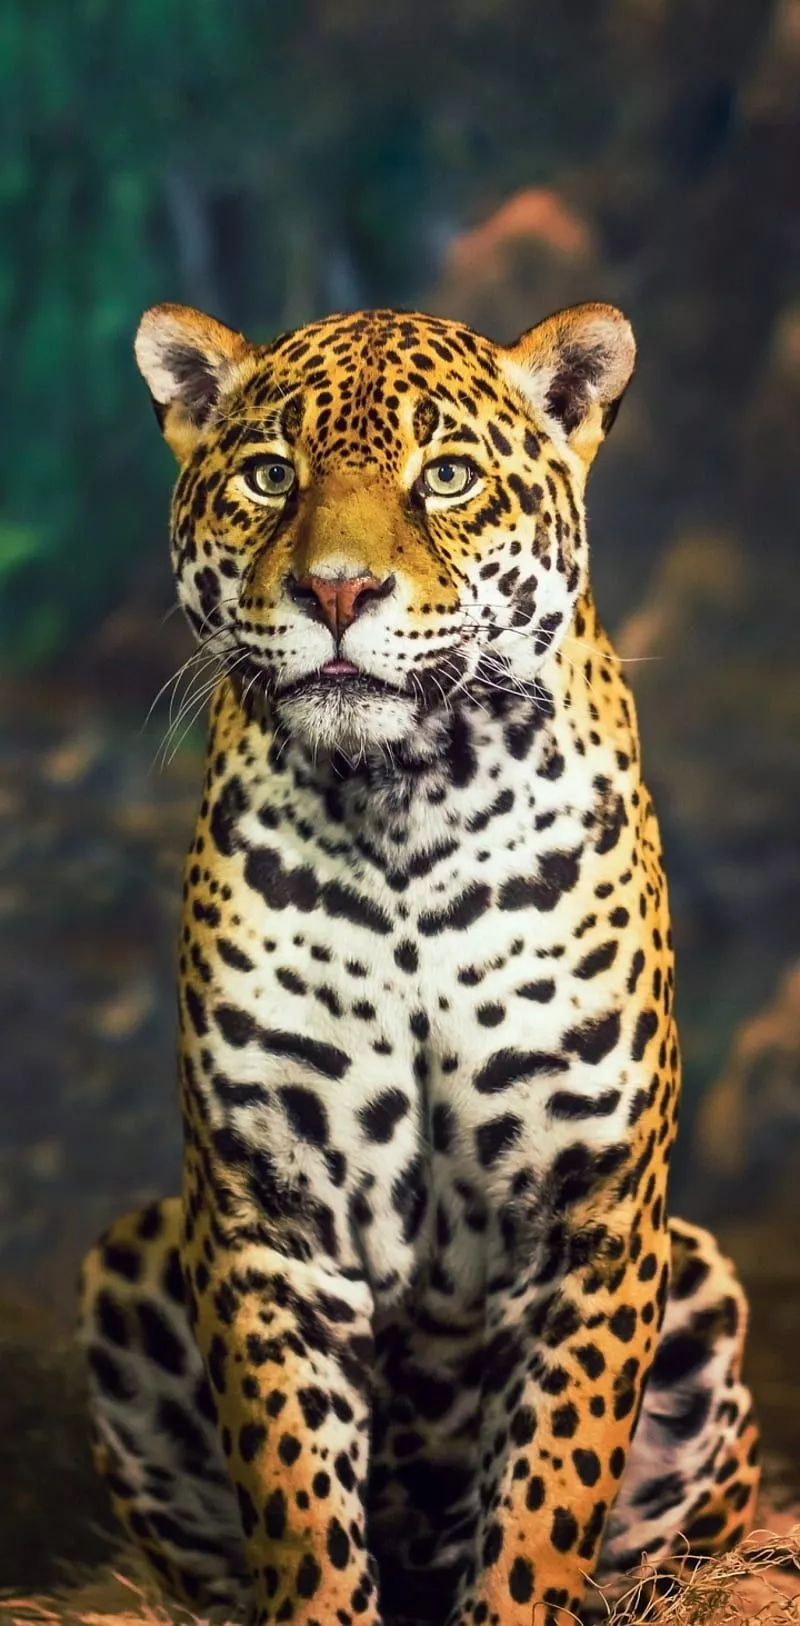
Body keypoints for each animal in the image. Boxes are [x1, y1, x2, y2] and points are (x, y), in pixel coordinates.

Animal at [77, 298, 760, 1626]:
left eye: (444, 477)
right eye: (269, 475)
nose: (336, 589)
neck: (406, 810)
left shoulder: (591, 1217)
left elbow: (545, 1503)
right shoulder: (266, 1216)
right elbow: (296, 1504)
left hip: (701, 1283)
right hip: (133, 1257)